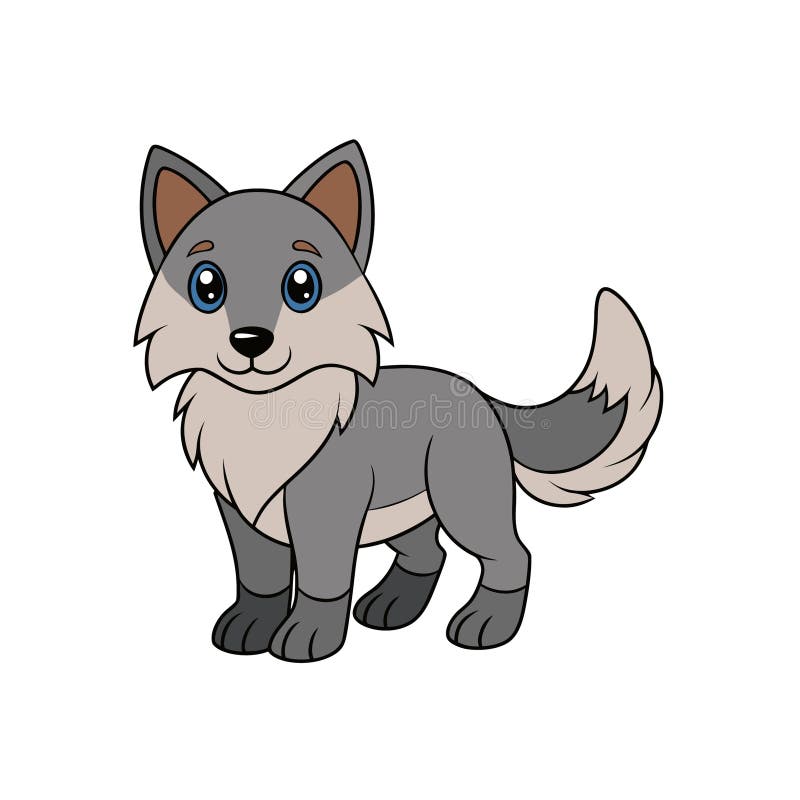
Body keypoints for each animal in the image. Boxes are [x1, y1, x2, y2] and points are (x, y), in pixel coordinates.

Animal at [135, 141, 662, 662]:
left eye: (302, 286)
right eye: (207, 286)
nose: (250, 340)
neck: (262, 416)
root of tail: (476, 393)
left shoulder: (326, 509)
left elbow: (322, 583)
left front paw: (309, 636)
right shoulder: (240, 513)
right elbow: (259, 579)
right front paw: (251, 627)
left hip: (463, 502)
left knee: (511, 556)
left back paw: (486, 625)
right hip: (407, 510)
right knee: (430, 554)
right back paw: (393, 605)